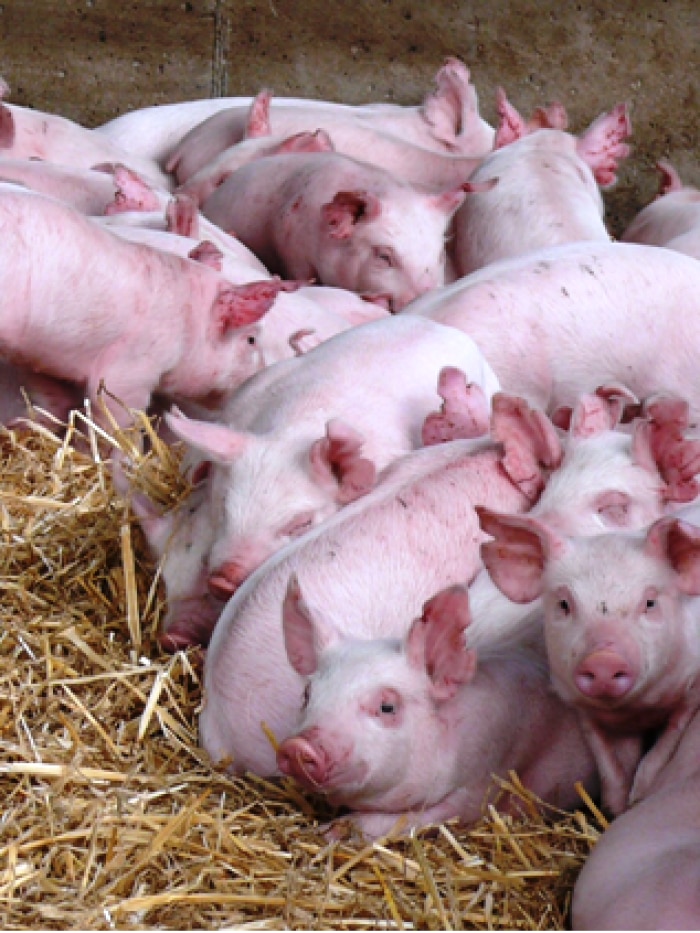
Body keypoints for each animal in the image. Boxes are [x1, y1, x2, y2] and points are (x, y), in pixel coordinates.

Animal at [0, 184, 288, 428]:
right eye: (251, 340)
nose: (259, 378)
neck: (188, 321)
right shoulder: (132, 366)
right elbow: (118, 417)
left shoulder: (40, 356)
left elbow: (53, 397)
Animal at [476, 508, 700, 817]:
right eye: (564, 604)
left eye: (650, 602)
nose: (603, 661)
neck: (636, 710)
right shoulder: (579, 706)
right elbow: (608, 764)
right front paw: (615, 808)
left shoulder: (692, 686)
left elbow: (664, 745)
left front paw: (638, 796)